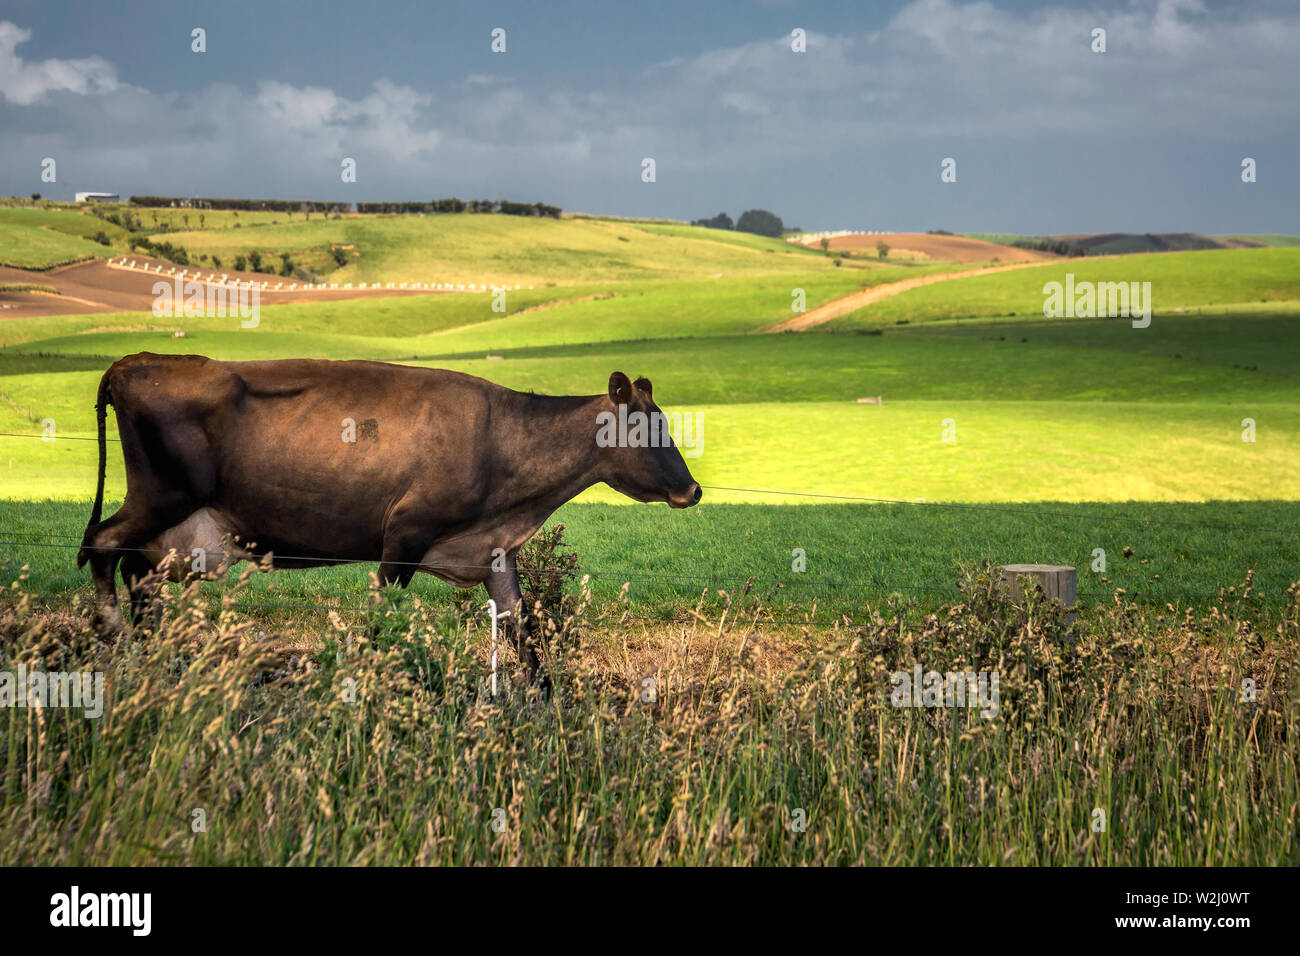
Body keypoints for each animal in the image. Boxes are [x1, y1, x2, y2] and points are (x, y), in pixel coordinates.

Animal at [77, 353, 702, 678]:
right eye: (646, 427)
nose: (693, 490)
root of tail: (135, 361)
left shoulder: (494, 550)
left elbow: (524, 633)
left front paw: (549, 707)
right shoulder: (404, 534)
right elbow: (380, 623)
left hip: (179, 532)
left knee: (137, 574)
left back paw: (157, 655)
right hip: (161, 499)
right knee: (104, 545)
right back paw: (115, 639)